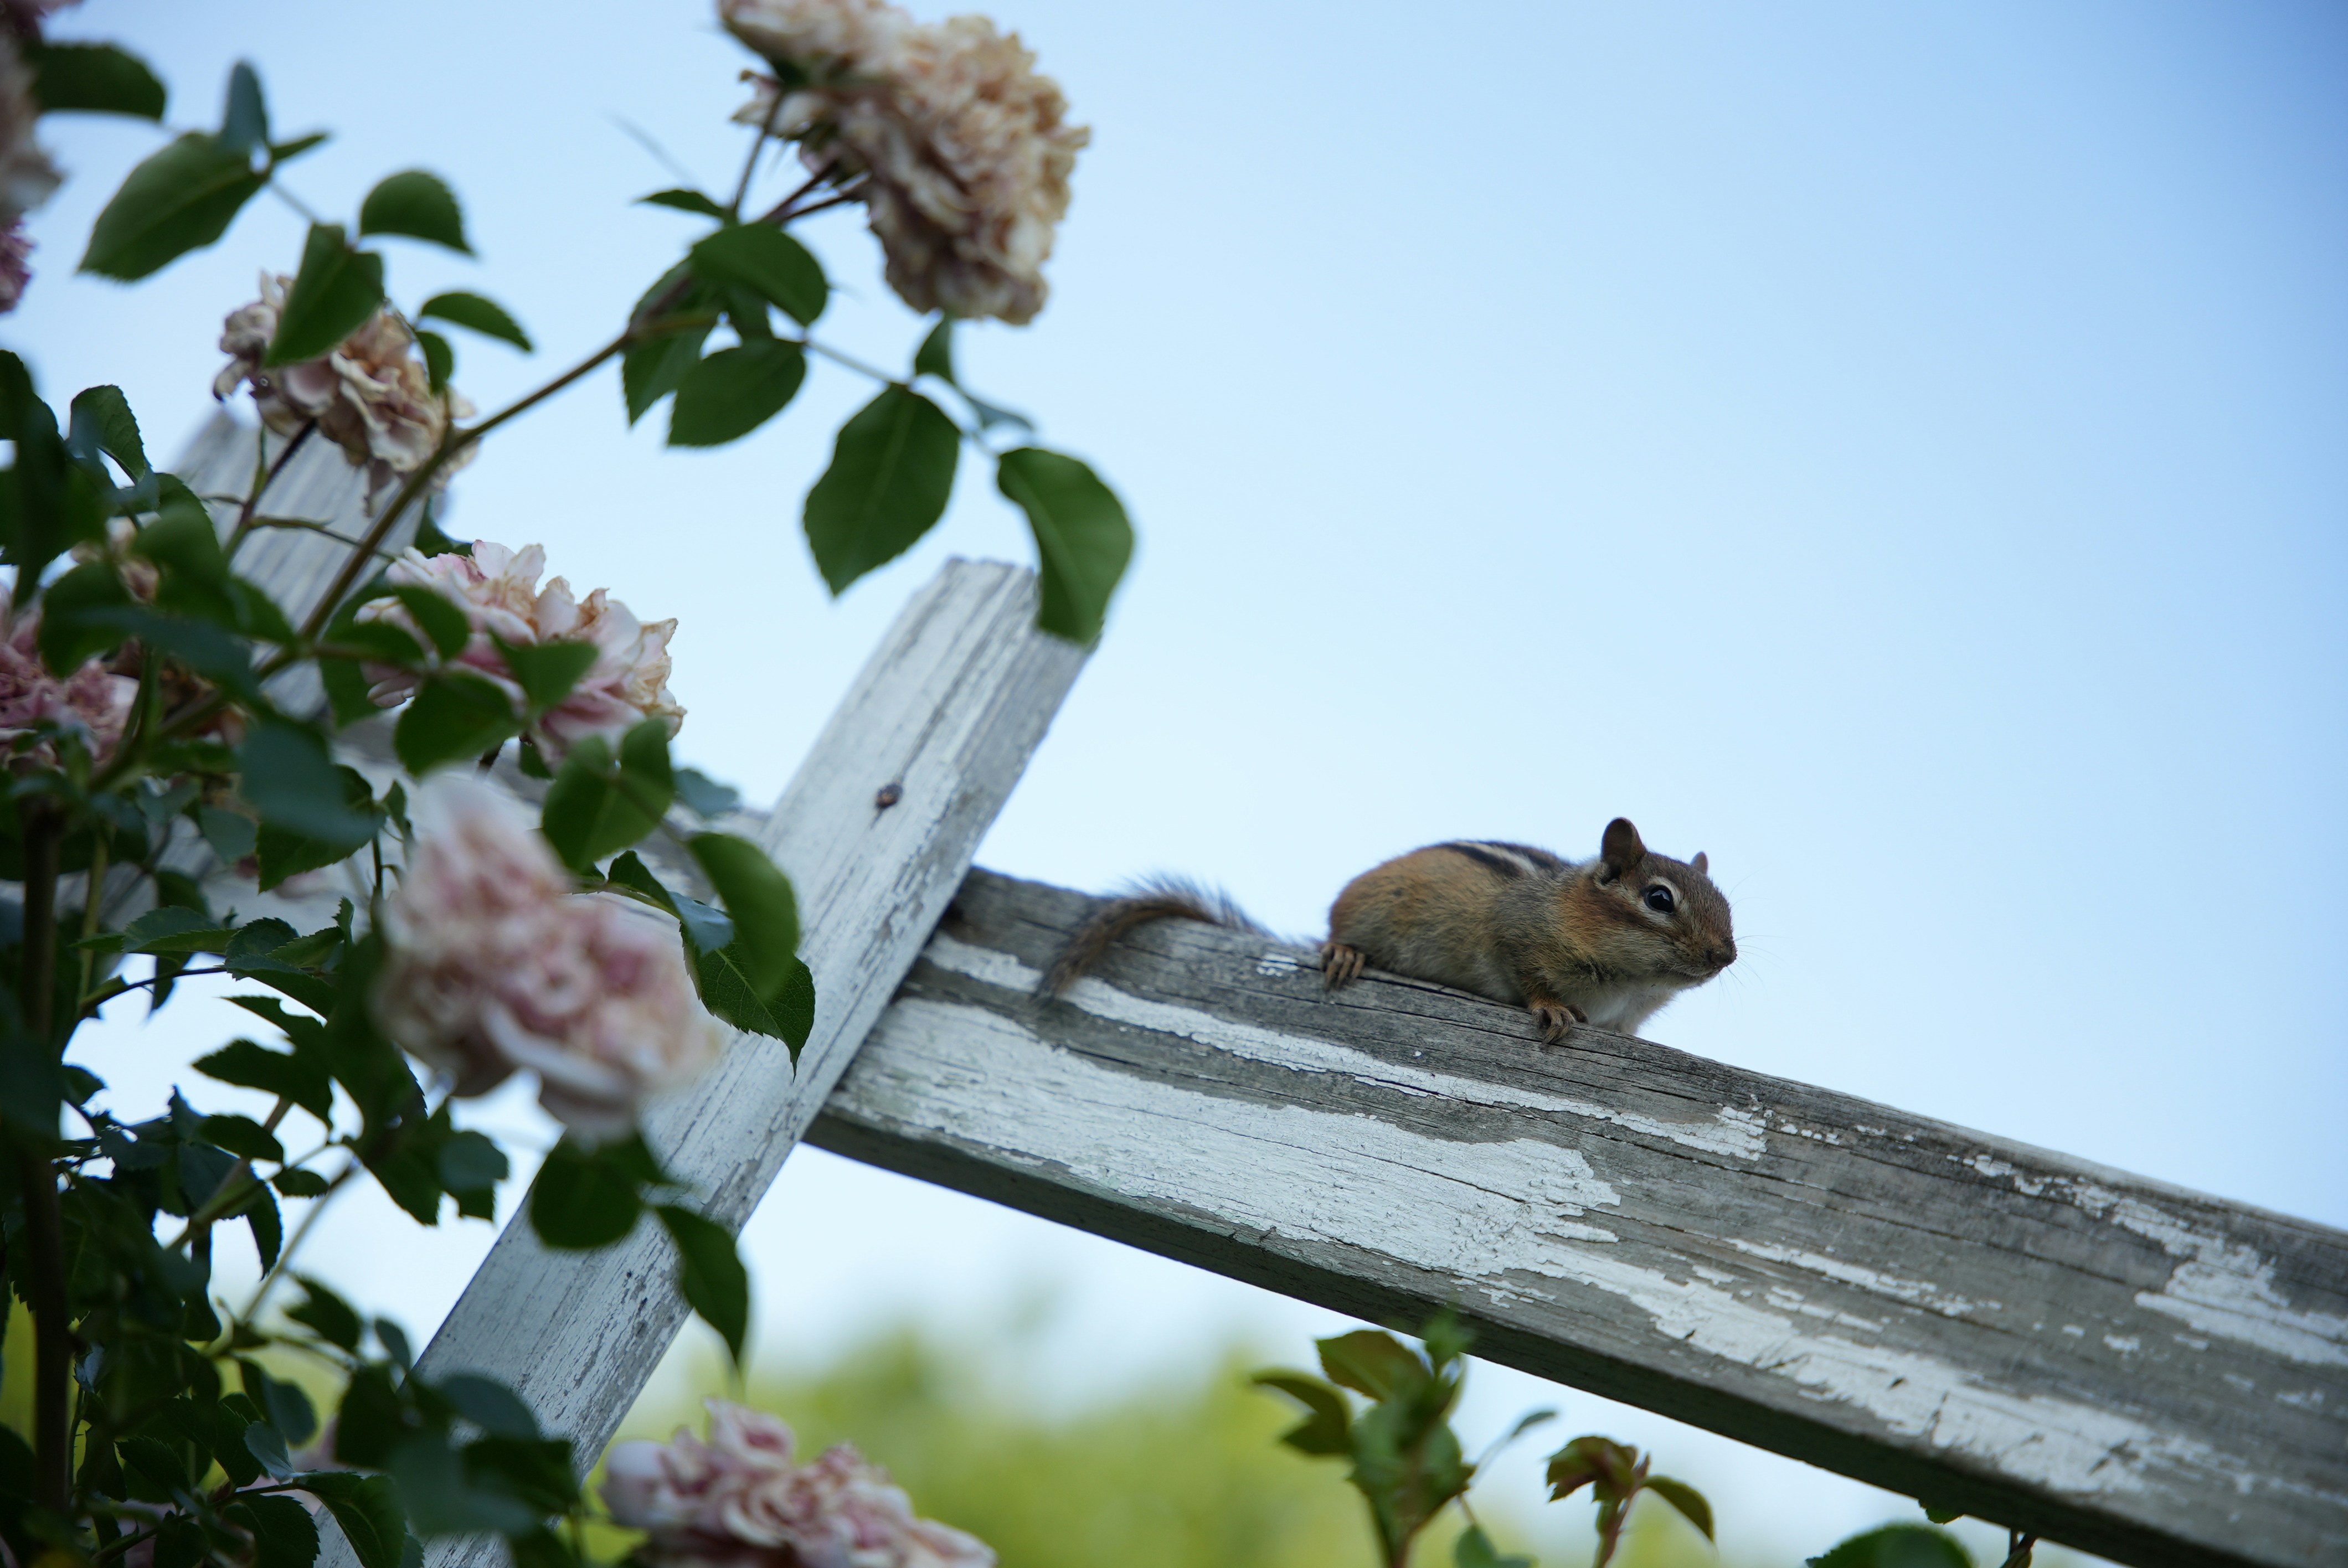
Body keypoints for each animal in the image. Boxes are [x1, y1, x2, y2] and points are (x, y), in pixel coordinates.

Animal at [1043, 818, 1736, 1043]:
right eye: (1658, 899)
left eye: (1728, 906)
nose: (1725, 956)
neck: (1627, 984)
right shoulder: (1515, 934)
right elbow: (1527, 976)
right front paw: (1552, 1008)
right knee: (1336, 930)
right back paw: (1344, 951)